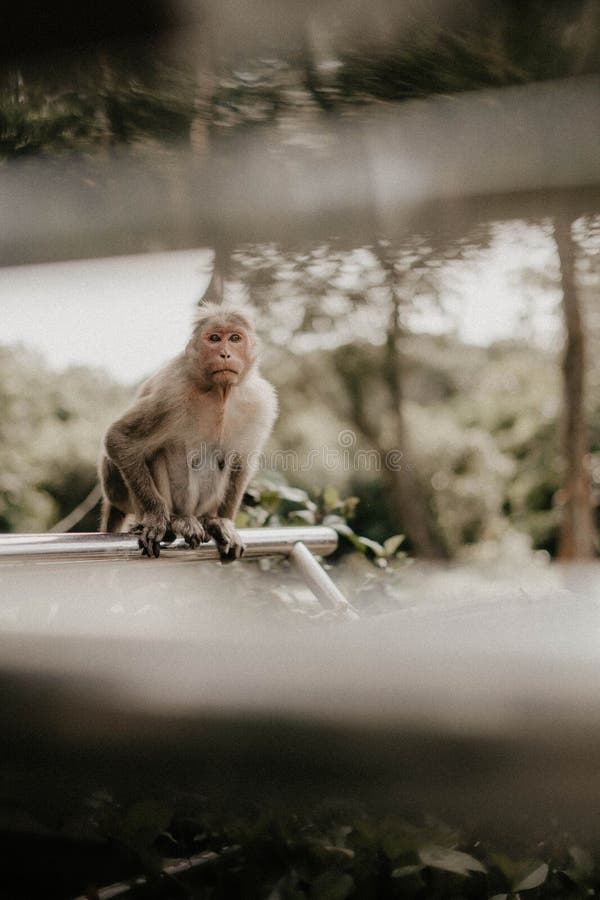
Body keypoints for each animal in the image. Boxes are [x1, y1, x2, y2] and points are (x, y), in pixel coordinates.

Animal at [99, 303, 277, 562]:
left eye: (235, 338)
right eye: (214, 339)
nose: (225, 353)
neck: (219, 393)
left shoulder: (261, 401)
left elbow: (242, 462)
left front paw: (224, 521)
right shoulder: (171, 394)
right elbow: (120, 439)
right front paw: (157, 515)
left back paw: (209, 521)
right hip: (127, 496)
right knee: (156, 452)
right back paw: (176, 520)